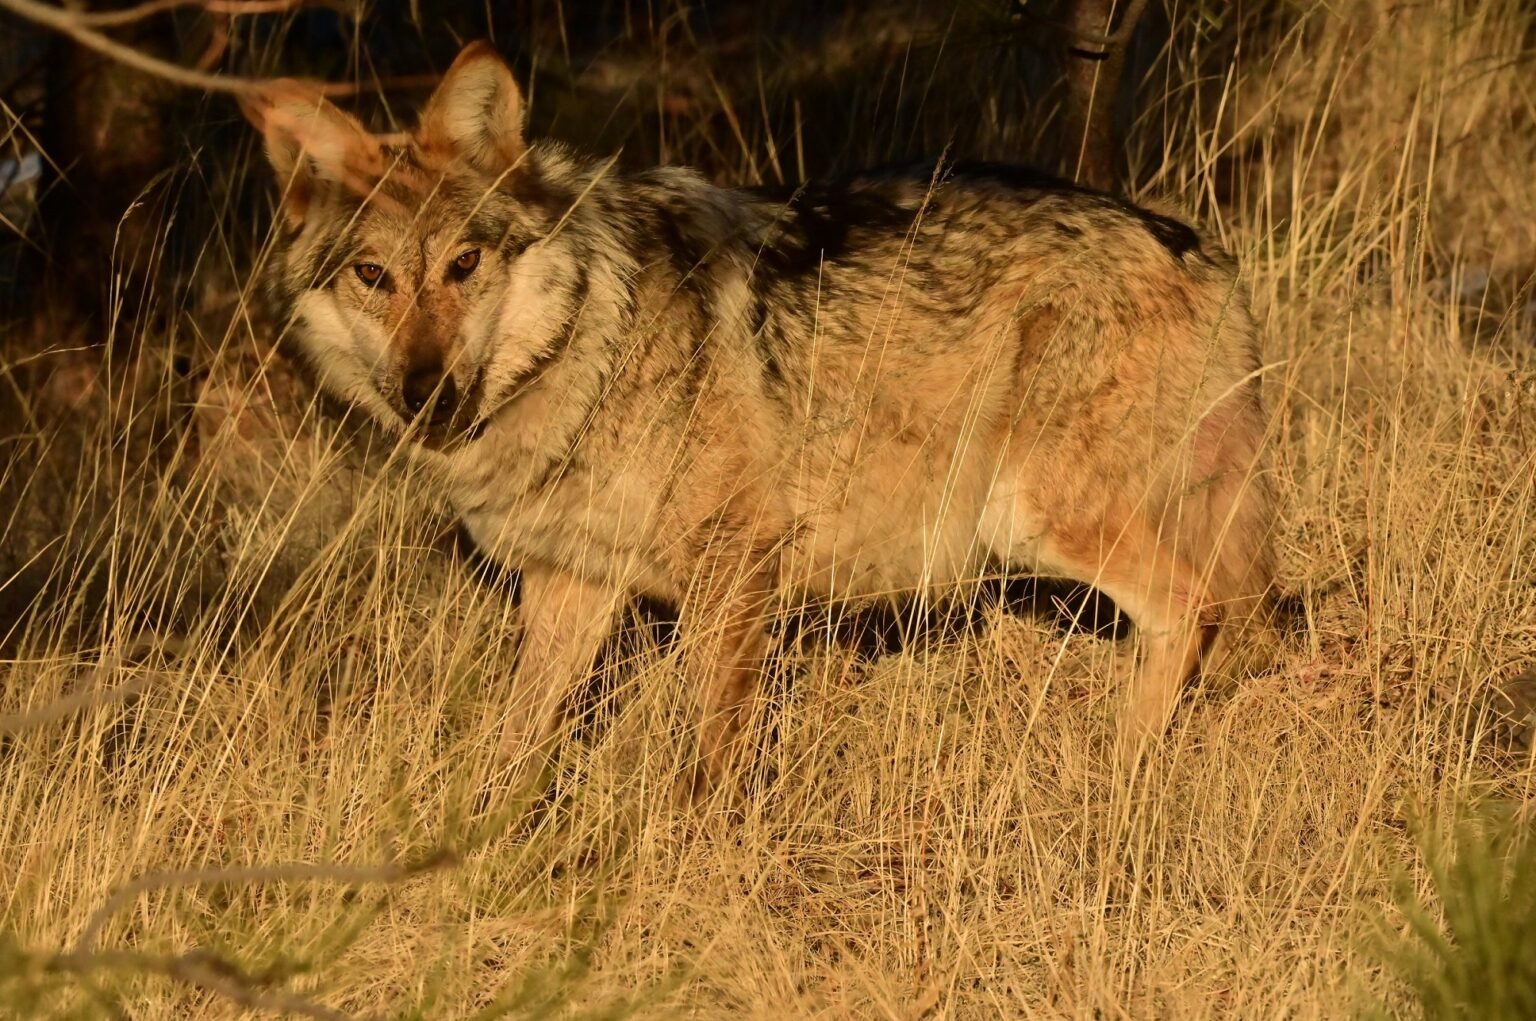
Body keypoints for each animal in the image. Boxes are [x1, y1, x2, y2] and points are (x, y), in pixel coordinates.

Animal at [242, 41, 1277, 794]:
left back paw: (1118, 777)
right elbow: (516, 738)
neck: (590, 342)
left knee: (1190, 611)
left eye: (464, 264)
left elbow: (713, 761)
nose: (426, 391)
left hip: (1034, 516)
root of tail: (1201, 250)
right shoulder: (572, 586)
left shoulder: (733, 570)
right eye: (373, 276)